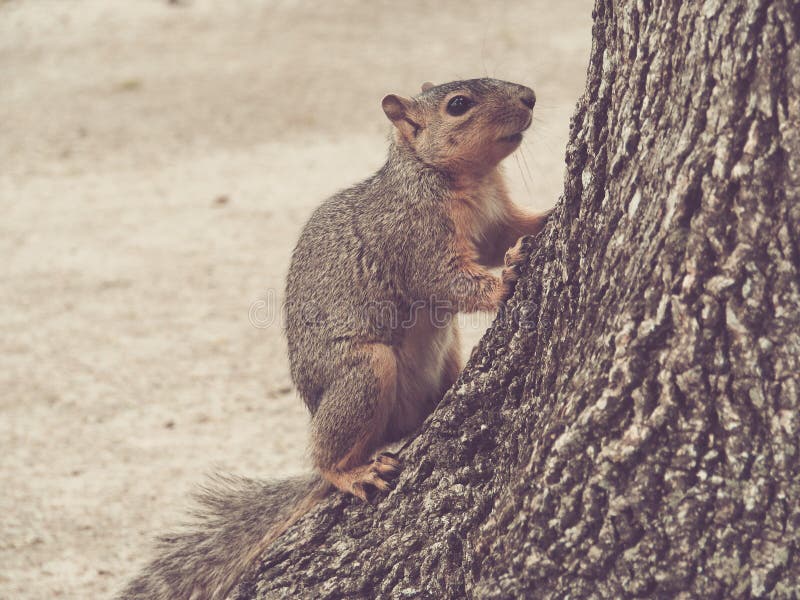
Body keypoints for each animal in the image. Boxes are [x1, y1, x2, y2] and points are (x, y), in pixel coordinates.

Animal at [118, 78, 549, 600]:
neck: (461, 178)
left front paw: (553, 212)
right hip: (364, 372)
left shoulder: (495, 217)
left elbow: (514, 229)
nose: (529, 96)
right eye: (459, 105)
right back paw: (351, 471)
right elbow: (448, 282)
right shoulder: (413, 237)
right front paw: (504, 280)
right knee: (329, 452)